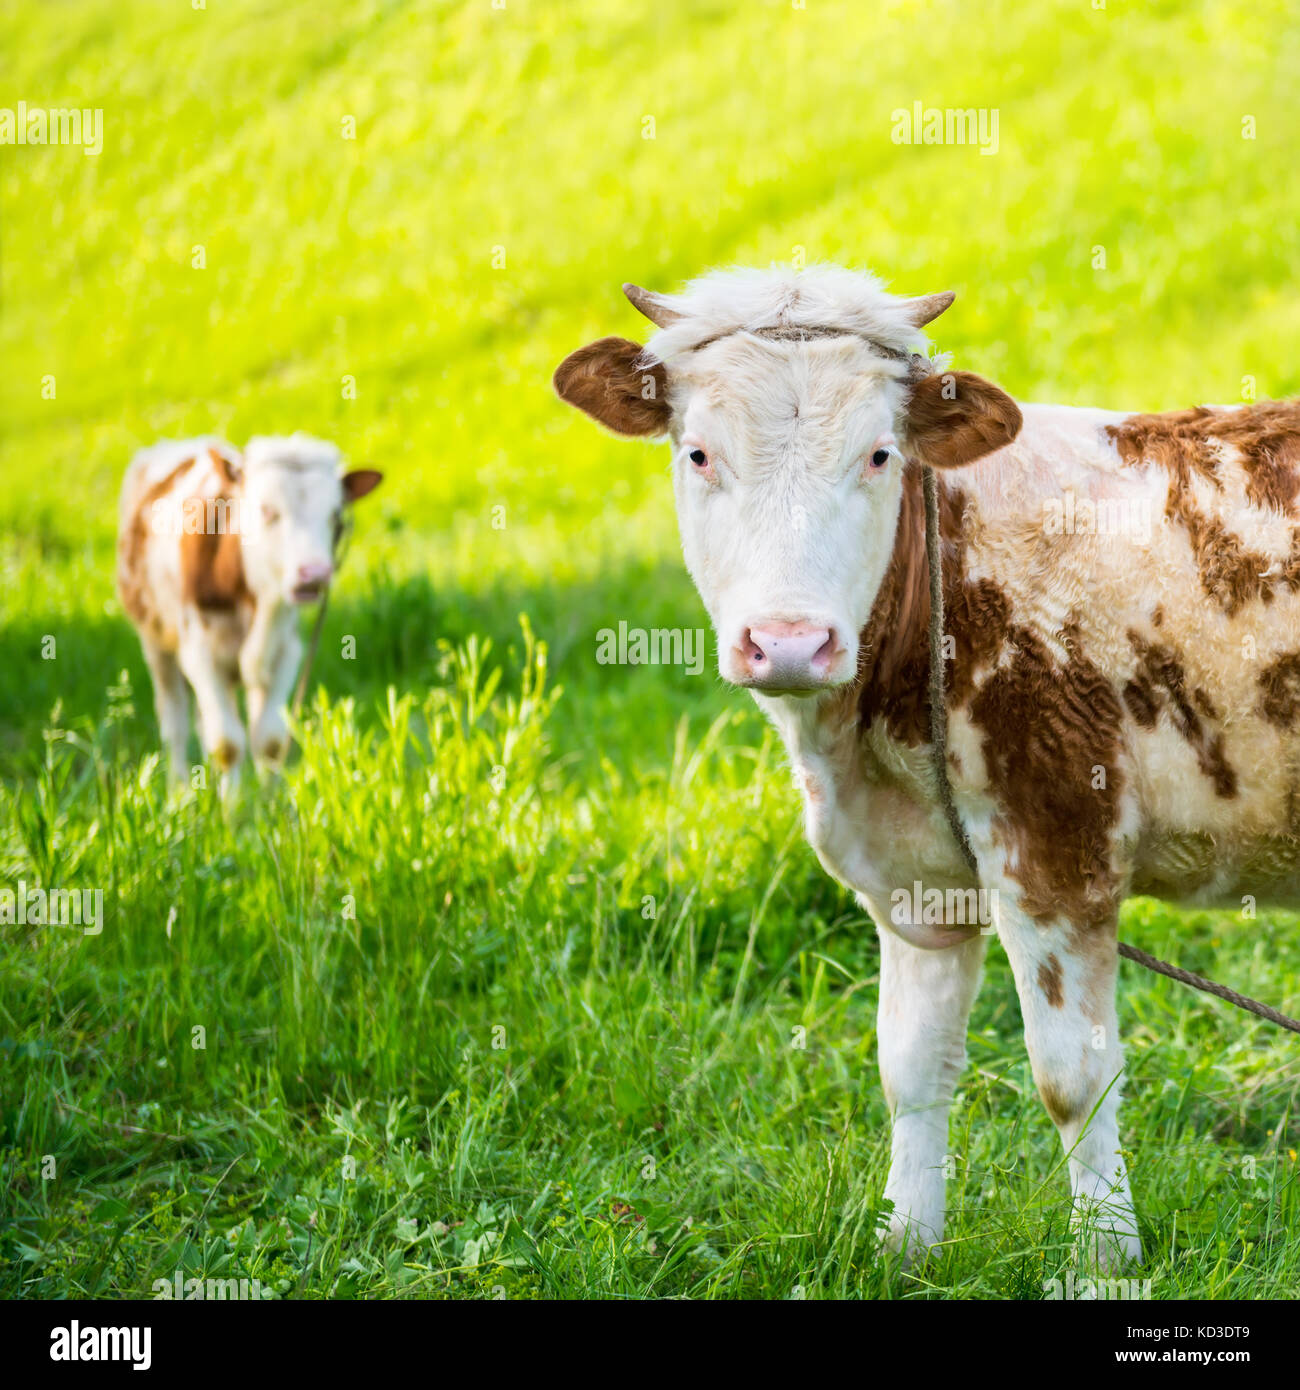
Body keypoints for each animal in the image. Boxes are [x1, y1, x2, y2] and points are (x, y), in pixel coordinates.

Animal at [116, 433, 382, 785]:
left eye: (336, 514)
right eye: (268, 510)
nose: (314, 573)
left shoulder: (285, 651)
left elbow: (269, 741)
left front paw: (271, 800)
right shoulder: (200, 654)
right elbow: (227, 745)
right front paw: (229, 802)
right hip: (156, 642)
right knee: (175, 721)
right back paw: (181, 790)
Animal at [554, 264, 1300, 1270]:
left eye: (878, 455)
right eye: (699, 453)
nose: (789, 641)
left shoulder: (1054, 847)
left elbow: (1074, 1078)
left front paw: (1104, 1265)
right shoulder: (917, 884)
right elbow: (909, 1067)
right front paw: (906, 1245)